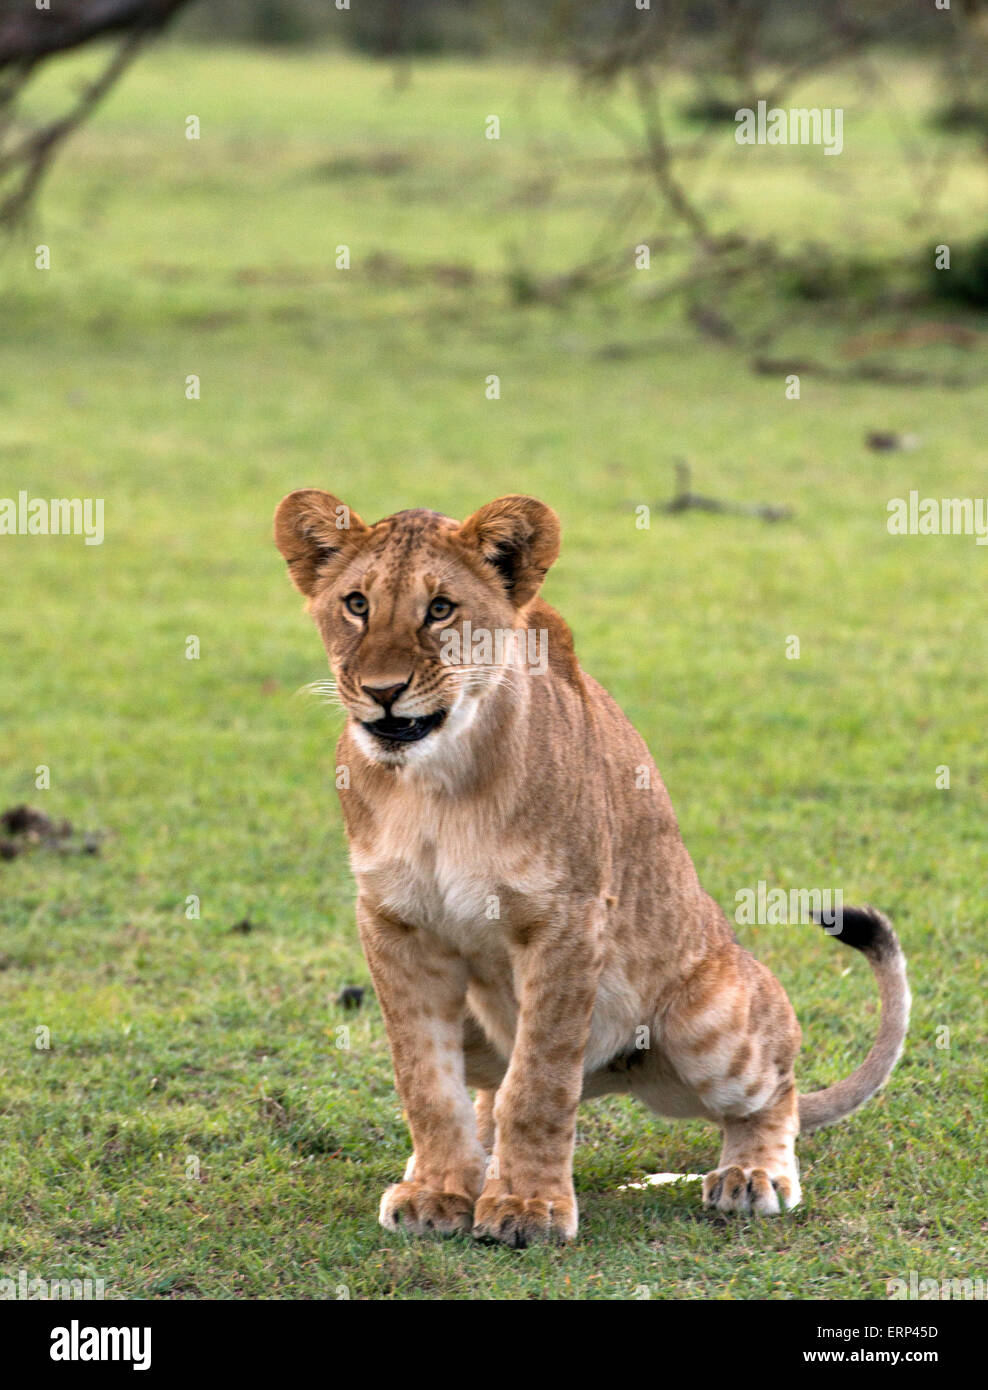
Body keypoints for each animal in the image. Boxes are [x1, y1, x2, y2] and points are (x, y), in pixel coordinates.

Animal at [273, 490, 910, 1247]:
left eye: (441, 609)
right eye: (357, 604)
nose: (383, 691)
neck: (435, 785)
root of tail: (615, 1078)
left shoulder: (565, 920)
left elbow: (541, 1082)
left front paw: (528, 1206)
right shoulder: (395, 925)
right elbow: (424, 1079)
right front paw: (438, 1191)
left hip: (710, 1018)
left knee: (773, 1090)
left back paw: (752, 1175)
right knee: (485, 1093)